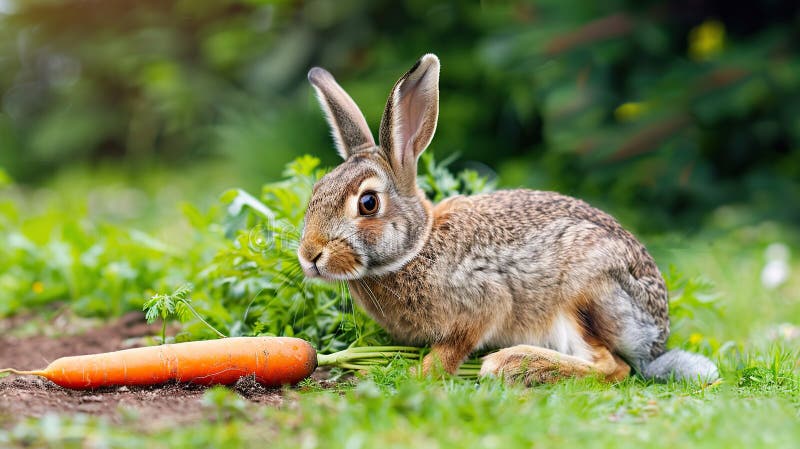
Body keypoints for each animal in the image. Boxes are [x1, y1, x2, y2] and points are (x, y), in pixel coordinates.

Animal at [297, 54, 718, 385]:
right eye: (316, 189)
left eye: (368, 203)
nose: (310, 255)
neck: (416, 248)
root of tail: (657, 336)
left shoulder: (485, 299)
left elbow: (453, 348)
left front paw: (419, 373)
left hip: (583, 294)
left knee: (612, 367)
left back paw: (513, 364)